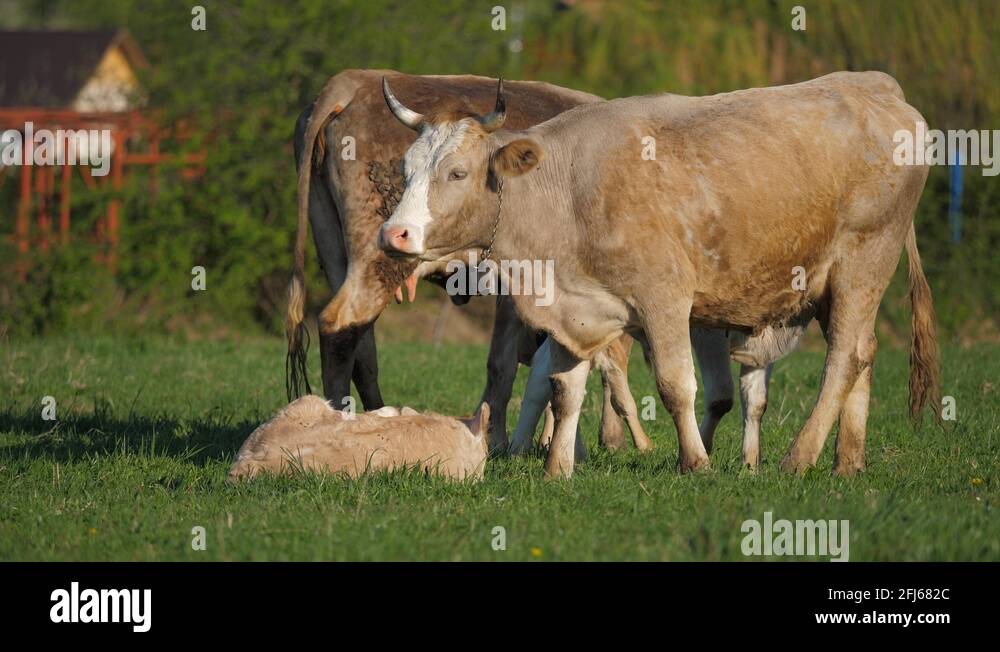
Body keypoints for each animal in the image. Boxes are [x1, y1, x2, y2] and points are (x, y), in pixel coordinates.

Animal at [378, 71, 942, 478]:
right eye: (407, 170)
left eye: (457, 172)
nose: (394, 234)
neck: (569, 192)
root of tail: (876, 86)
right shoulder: (576, 308)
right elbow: (564, 390)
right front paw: (558, 469)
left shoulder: (665, 300)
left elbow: (675, 385)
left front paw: (695, 462)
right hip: (834, 286)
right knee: (864, 352)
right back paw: (848, 462)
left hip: (863, 264)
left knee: (844, 358)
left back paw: (799, 458)